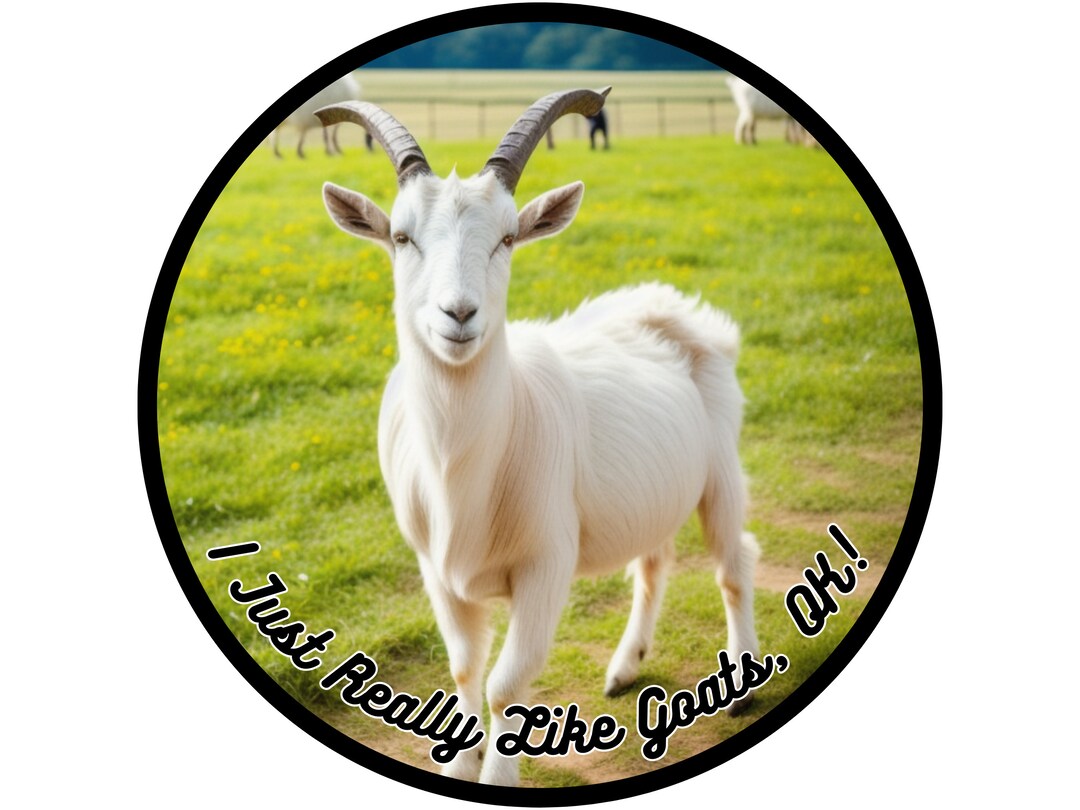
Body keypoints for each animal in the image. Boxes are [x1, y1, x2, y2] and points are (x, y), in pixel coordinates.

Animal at [317, 88, 760, 786]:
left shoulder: (546, 563)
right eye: (400, 236)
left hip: (720, 469)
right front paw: (458, 766)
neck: (465, 471)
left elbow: (504, 685)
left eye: (507, 237)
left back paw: (739, 682)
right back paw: (623, 667)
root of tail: (671, 304)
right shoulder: (435, 570)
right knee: (653, 560)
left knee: (734, 563)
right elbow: (465, 670)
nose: (459, 314)